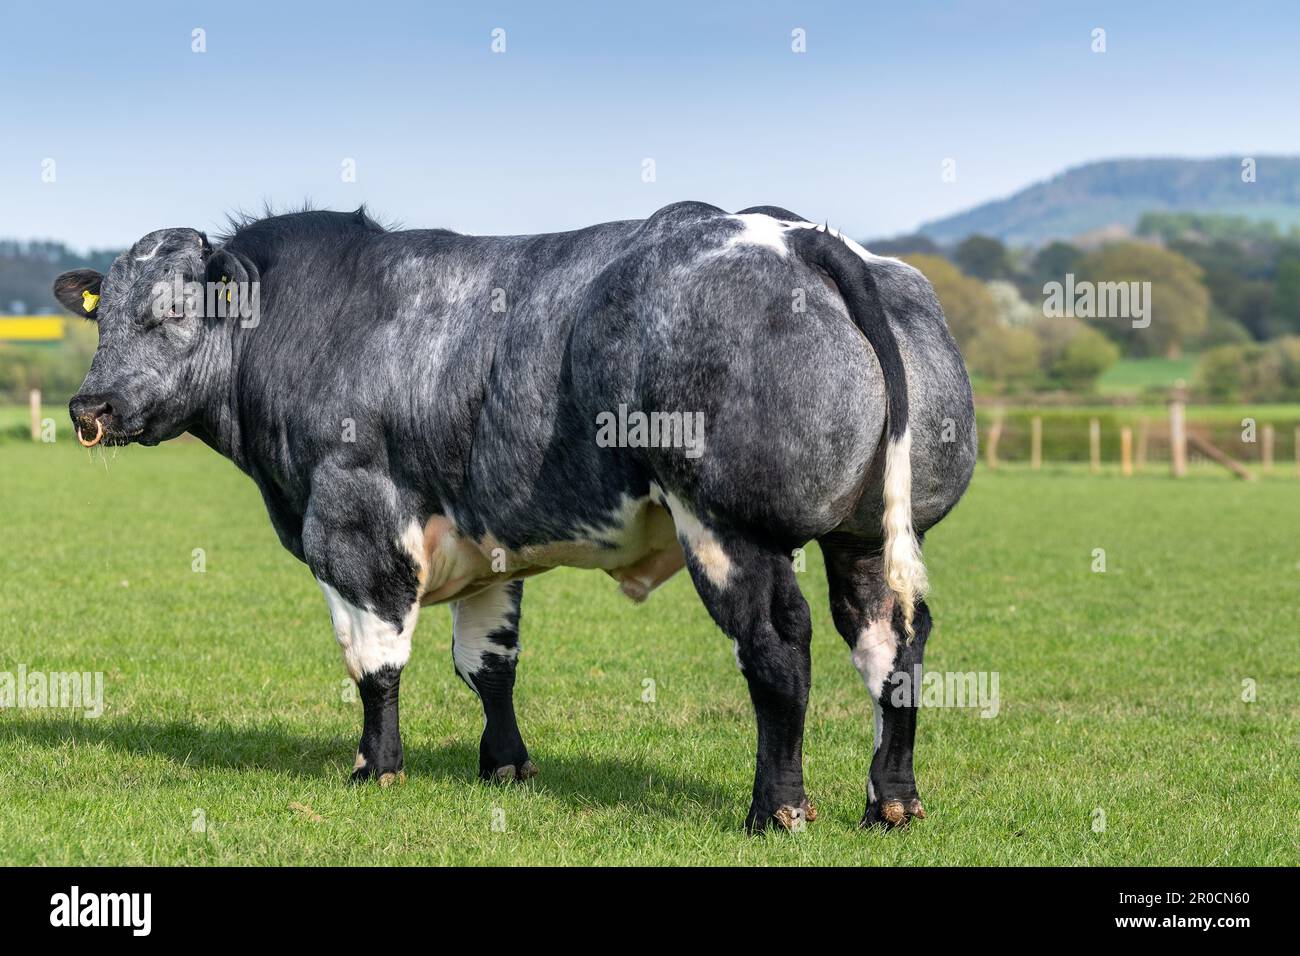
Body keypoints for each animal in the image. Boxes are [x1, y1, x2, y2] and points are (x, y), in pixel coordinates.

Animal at [56, 201, 976, 832]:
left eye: (170, 313)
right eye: (103, 316)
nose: (88, 407)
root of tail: (793, 233)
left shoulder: (352, 529)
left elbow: (374, 665)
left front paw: (374, 768)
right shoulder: (482, 543)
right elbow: (488, 665)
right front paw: (504, 766)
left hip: (729, 528)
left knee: (780, 649)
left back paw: (774, 809)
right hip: (868, 534)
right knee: (894, 641)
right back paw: (891, 802)